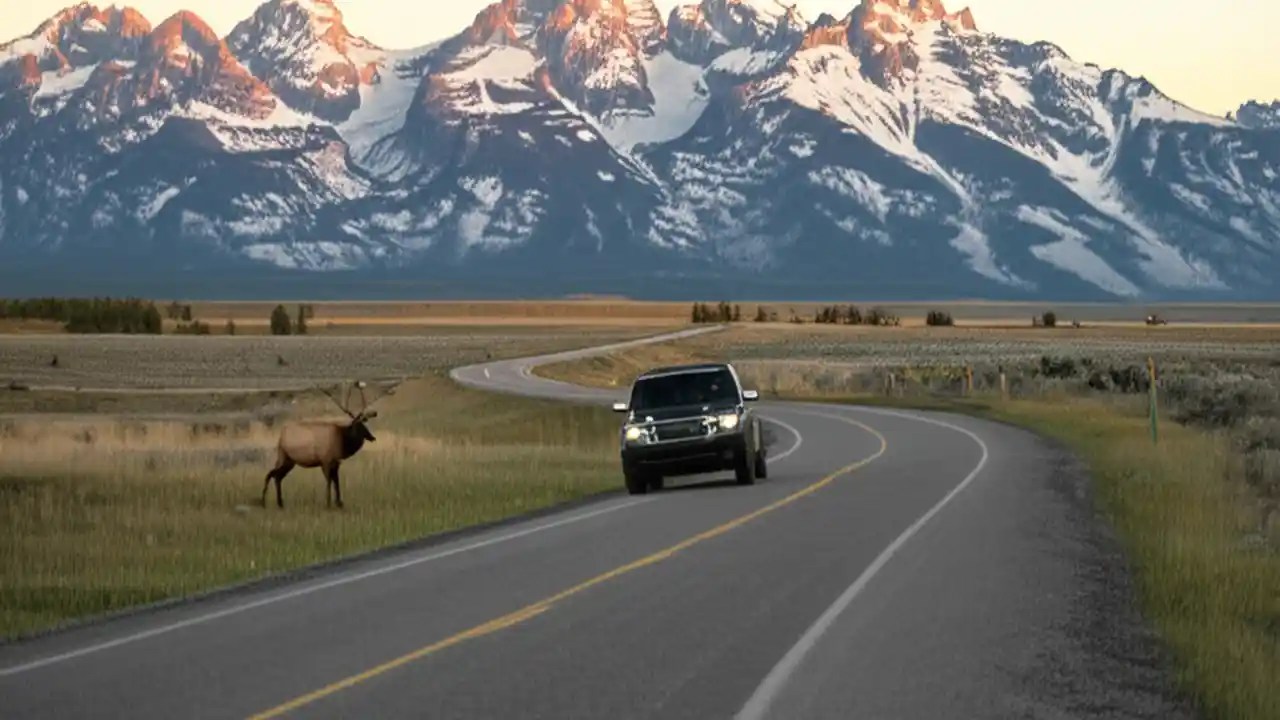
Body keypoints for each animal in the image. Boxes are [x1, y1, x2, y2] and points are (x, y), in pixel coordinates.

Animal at [262, 380, 387, 510]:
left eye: (365, 426)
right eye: (361, 427)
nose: (372, 437)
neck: (342, 442)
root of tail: (280, 437)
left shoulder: (336, 462)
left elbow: (336, 481)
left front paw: (339, 503)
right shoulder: (325, 461)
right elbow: (329, 482)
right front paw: (328, 503)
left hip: (289, 461)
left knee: (276, 476)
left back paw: (279, 503)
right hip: (283, 456)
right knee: (272, 474)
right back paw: (264, 501)